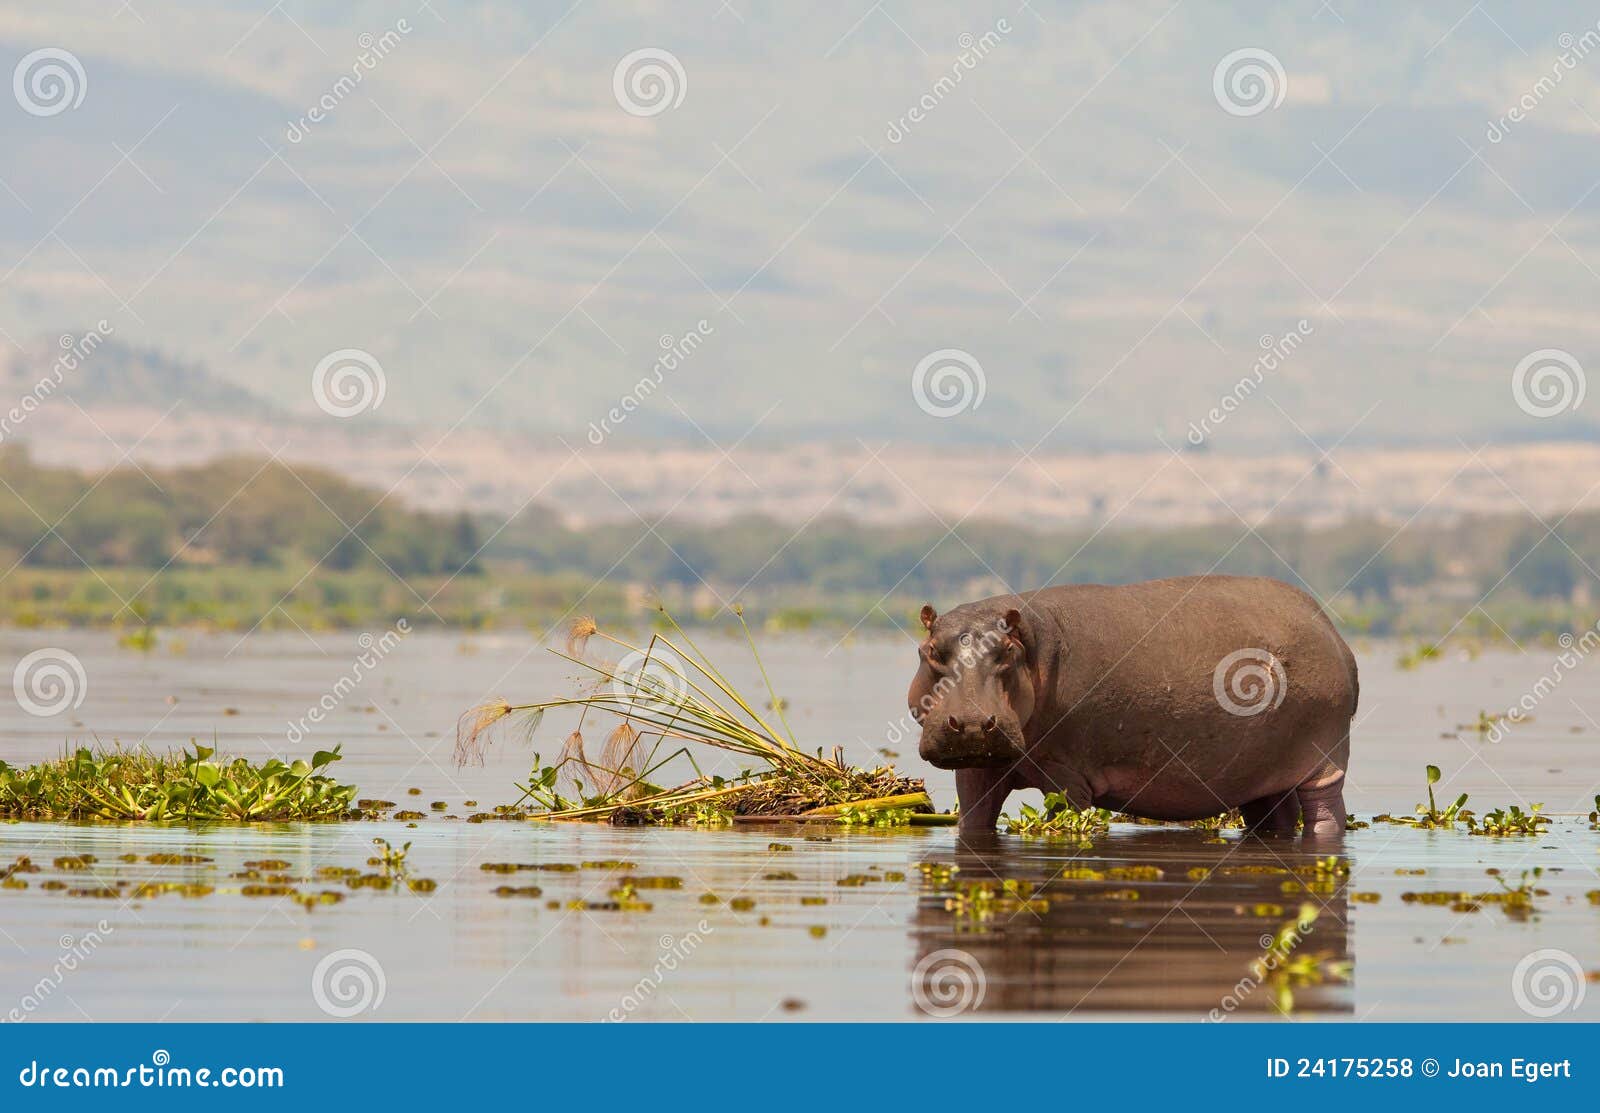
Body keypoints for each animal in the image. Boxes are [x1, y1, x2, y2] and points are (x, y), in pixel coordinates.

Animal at [908, 575, 1357, 837]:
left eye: (1004, 652)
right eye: (930, 650)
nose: (970, 722)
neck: (1030, 648)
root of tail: (1331, 628)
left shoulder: (1068, 775)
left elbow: (1065, 818)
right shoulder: (979, 766)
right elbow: (973, 818)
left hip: (1325, 757)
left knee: (1326, 810)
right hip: (1259, 773)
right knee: (1274, 813)